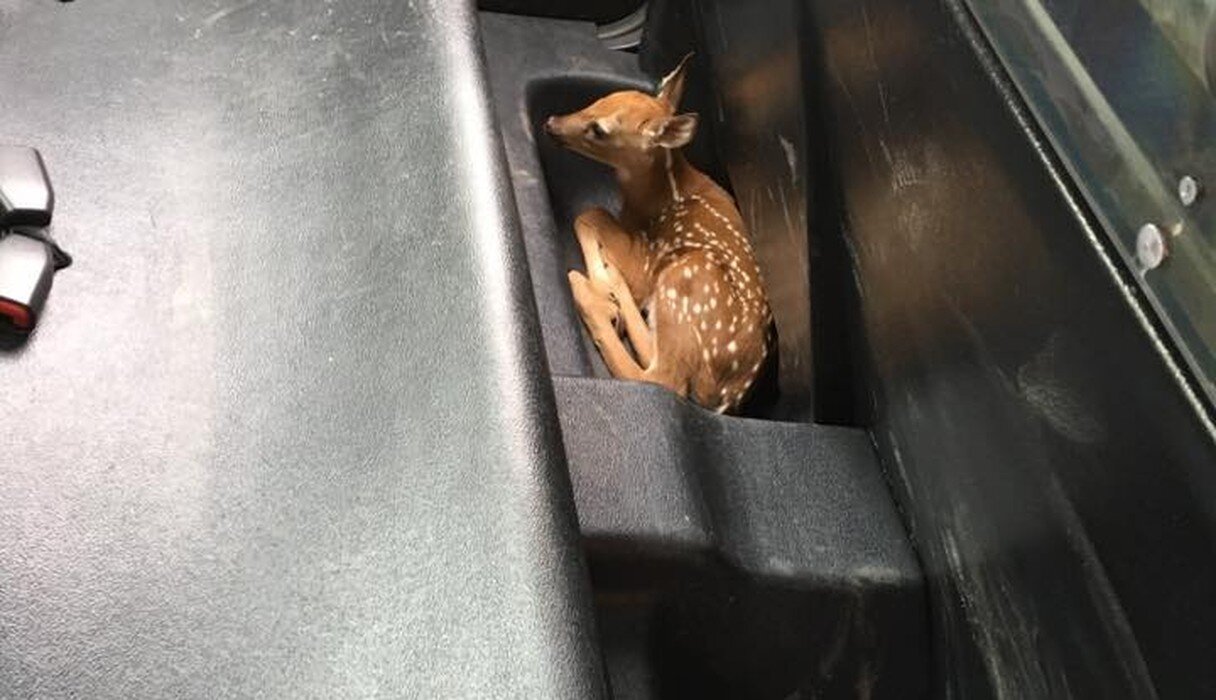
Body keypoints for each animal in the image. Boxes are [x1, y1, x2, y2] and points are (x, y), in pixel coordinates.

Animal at [544, 55, 774, 415]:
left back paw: (597, 293)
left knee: (662, 377)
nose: (552, 122)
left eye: (600, 130)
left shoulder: (646, 259)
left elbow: (589, 213)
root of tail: (726, 397)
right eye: (599, 100)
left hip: (685, 280)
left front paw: (606, 279)